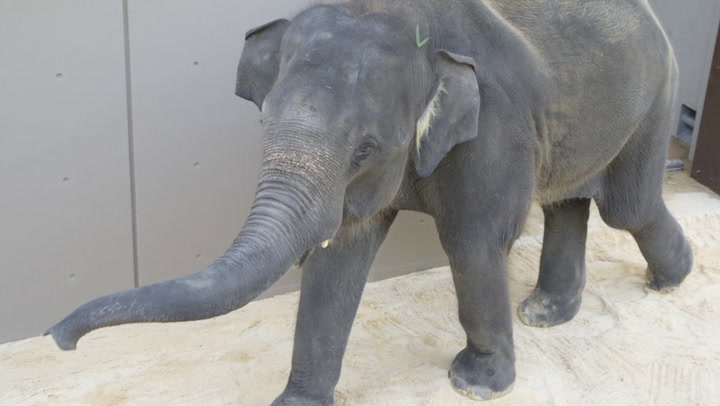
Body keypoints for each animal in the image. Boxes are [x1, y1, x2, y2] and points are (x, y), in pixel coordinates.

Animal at [46, 0, 693, 404]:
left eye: (366, 148)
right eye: (264, 125)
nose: (59, 338)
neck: (419, 24)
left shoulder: (496, 128)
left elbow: (474, 242)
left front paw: (478, 387)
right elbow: (341, 254)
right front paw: (297, 402)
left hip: (659, 96)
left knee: (627, 207)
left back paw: (672, 280)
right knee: (570, 200)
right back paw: (546, 313)